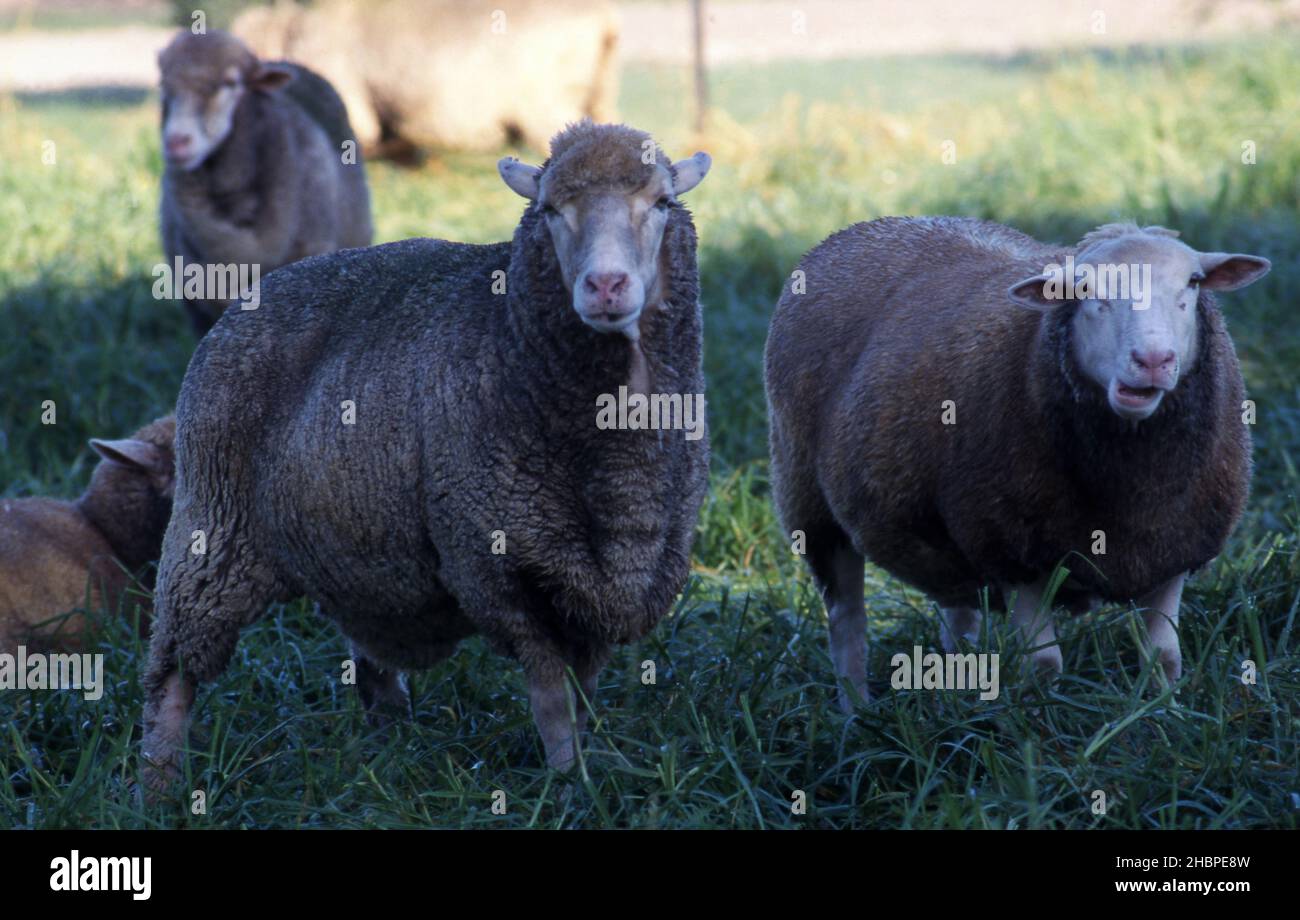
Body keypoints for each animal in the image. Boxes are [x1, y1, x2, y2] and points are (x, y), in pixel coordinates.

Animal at [139, 121, 712, 792]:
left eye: (662, 202)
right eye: (550, 209)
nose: (605, 286)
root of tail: (260, 288)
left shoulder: (604, 584)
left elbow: (585, 692)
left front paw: (591, 772)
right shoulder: (496, 567)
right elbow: (552, 696)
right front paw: (567, 783)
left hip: (356, 557)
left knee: (370, 666)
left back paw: (388, 752)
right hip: (210, 530)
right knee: (174, 673)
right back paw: (156, 784)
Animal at [765, 217, 1270, 708]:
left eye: (1194, 282)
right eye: (1084, 289)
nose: (1152, 360)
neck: (1134, 490)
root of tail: (853, 231)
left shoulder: (1175, 553)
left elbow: (1164, 659)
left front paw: (1162, 714)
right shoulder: (1016, 552)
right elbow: (1043, 667)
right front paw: (1040, 719)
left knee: (957, 611)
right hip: (809, 504)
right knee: (847, 620)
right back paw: (857, 715)